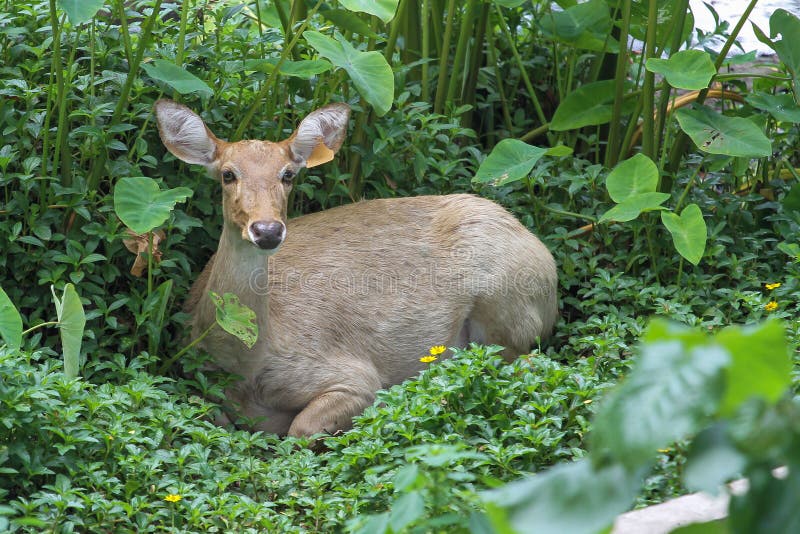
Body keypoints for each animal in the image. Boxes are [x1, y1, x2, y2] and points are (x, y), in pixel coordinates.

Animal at [153, 99, 558, 438]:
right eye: (227, 174)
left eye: (288, 174)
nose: (267, 230)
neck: (246, 368)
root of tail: (544, 255)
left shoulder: (353, 374)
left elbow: (301, 430)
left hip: (505, 302)